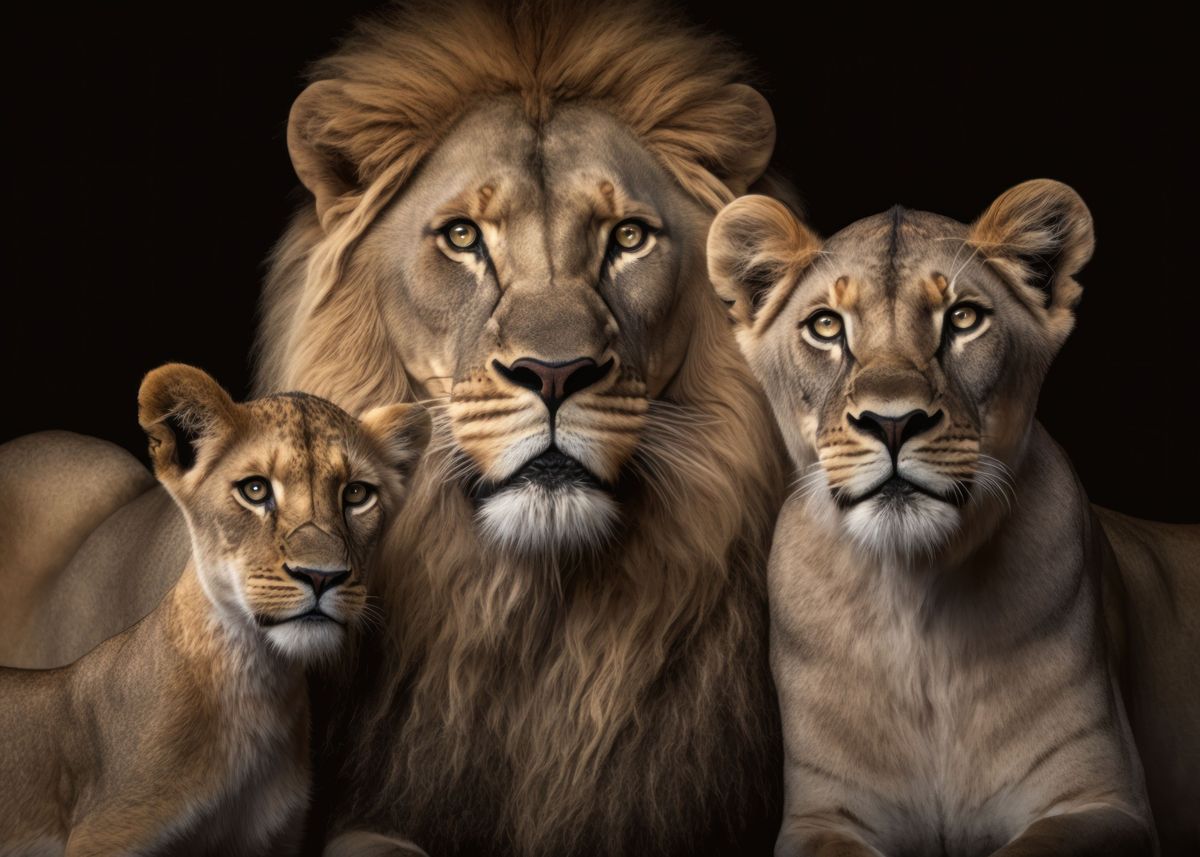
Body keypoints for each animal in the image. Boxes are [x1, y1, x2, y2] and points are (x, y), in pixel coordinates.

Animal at [708, 180, 1196, 856]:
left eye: (963, 318)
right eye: (826, 327)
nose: (892, 422)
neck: (915, 605)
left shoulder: (1104, 802)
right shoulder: (820, 816)